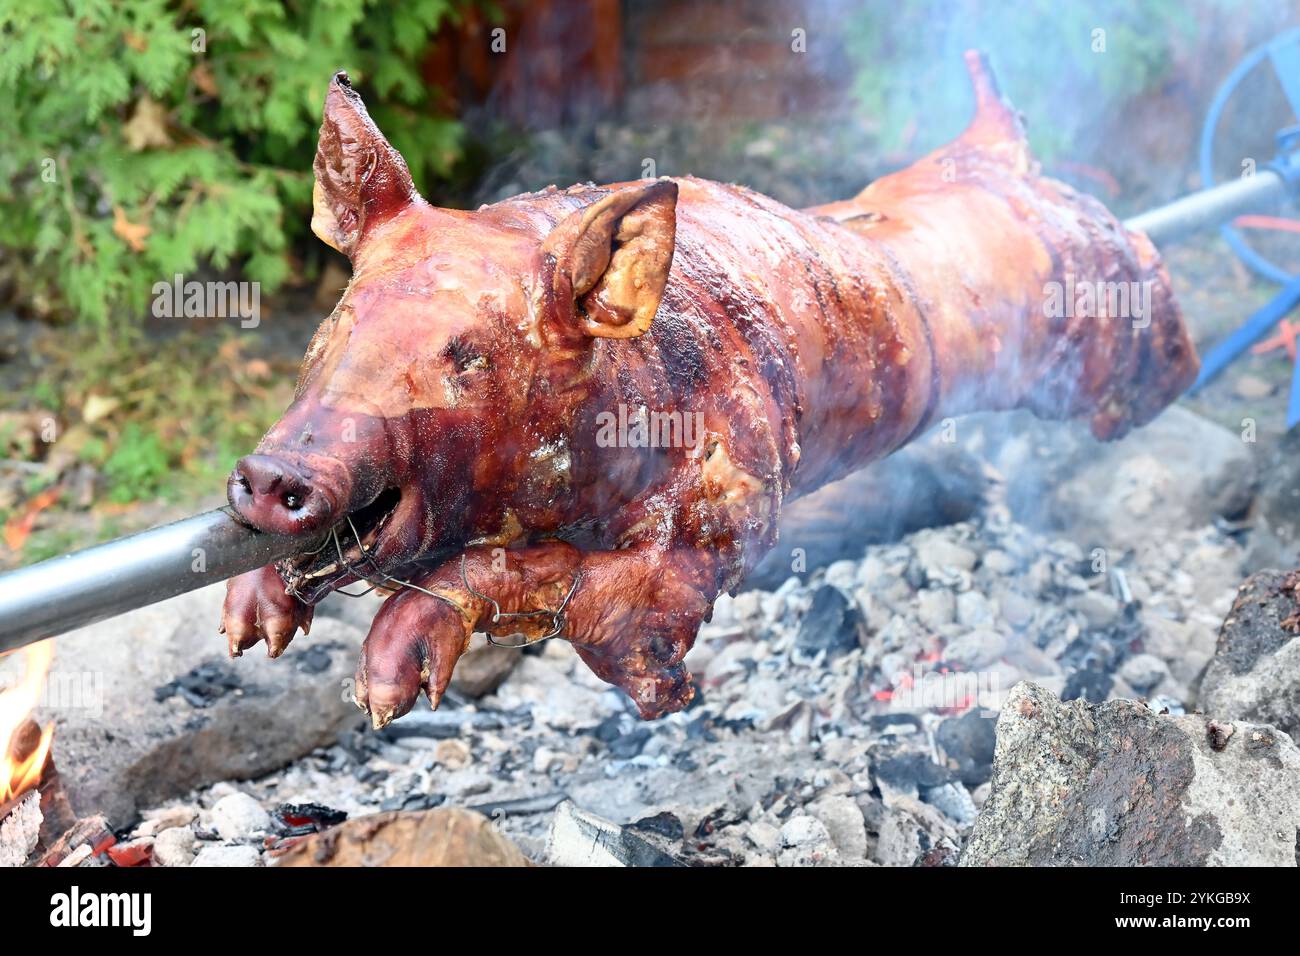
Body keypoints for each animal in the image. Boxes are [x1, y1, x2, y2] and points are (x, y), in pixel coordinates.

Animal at [222, 54, 1197, 728]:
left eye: (468, 356)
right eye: (337, 325)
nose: (274, 475)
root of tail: (1009, 160)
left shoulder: (713, 535)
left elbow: (585, 609)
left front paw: (385, 687)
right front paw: (249, 625)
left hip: (1129, 325)